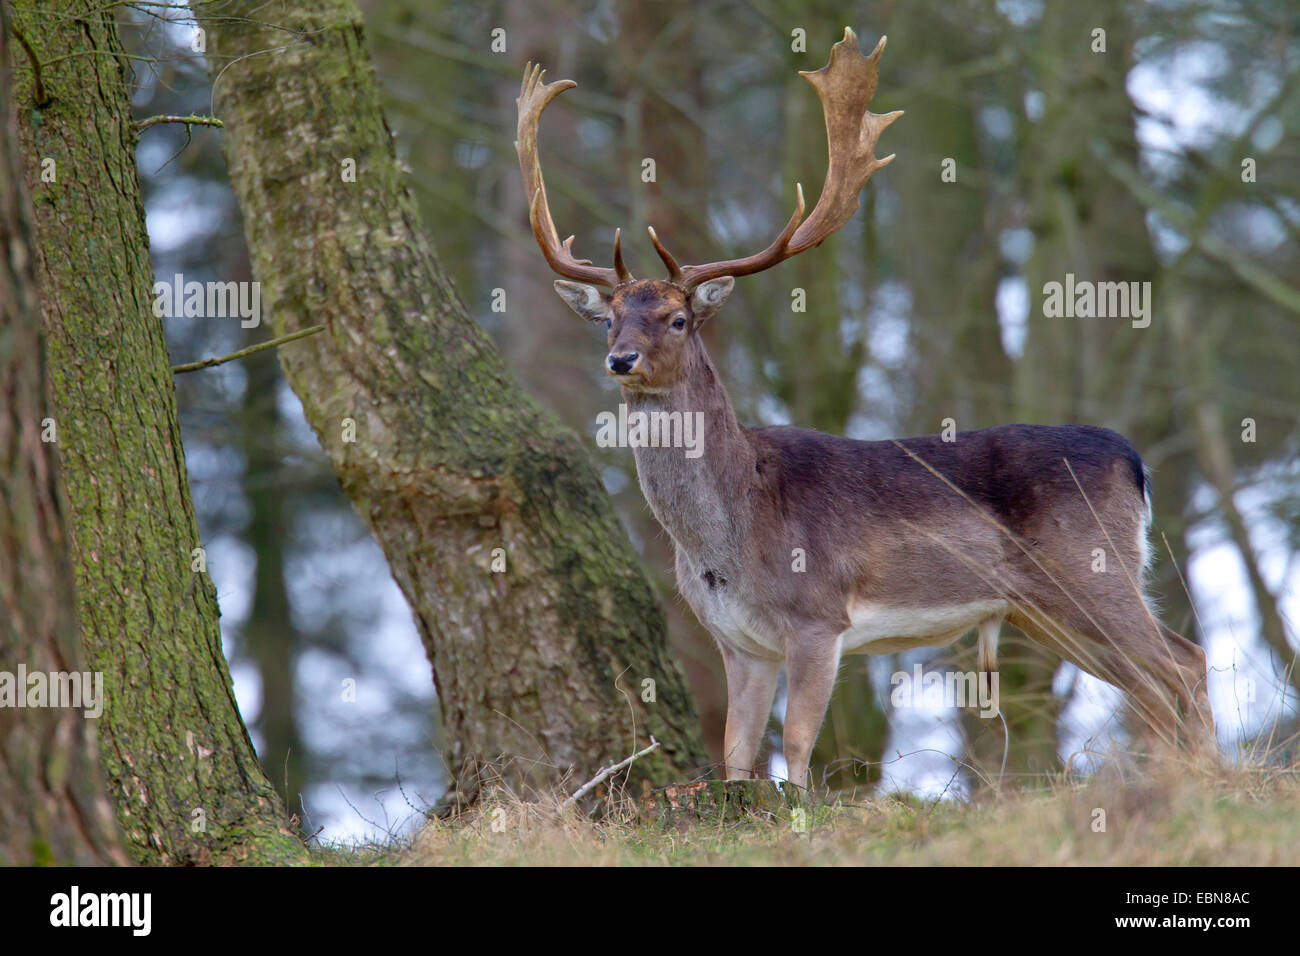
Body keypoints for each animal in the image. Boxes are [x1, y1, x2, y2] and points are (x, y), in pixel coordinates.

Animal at [515, 28, 1215, 789]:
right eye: (610, 320)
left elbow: (796, 746)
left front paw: (801, 808)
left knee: (1183, 664)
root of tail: (1132, 461)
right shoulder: (738, 641)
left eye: (676, 319)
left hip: (1092, 570)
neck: (731, 531)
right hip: (1044, 608)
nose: (620, 361)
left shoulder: (818, 615)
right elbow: (736, 755)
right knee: (1156, 682)